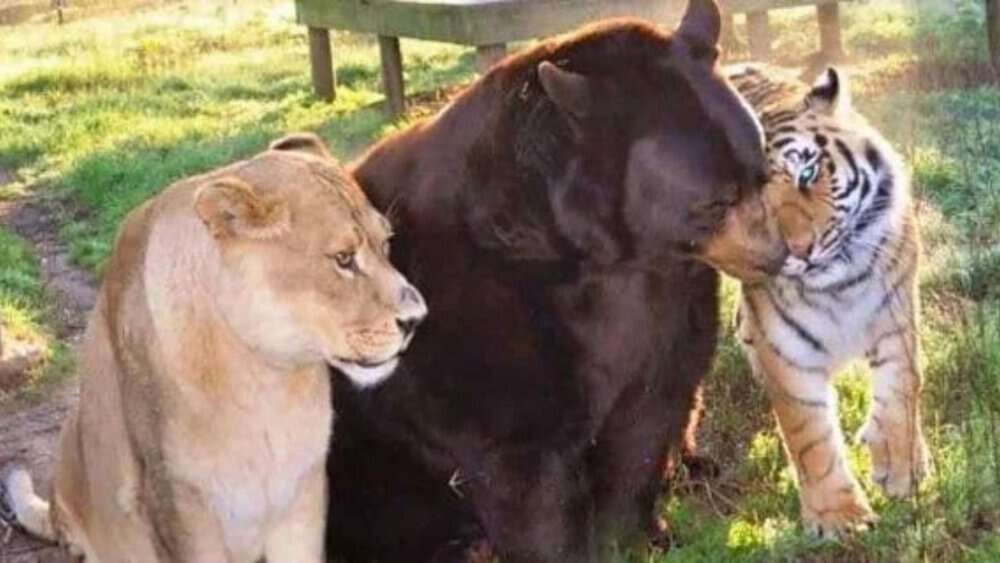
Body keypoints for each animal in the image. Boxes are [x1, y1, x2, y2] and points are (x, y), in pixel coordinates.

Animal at [2, 133, 427, 562]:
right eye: (343, 259)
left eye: (386, 244)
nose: (417, 318)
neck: (266, 380)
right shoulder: (179, 504)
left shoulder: (302, 493)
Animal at [726, 65, 929, 537]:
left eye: (806, 173)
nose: (799, 251)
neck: (839, 286)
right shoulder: (788, 353)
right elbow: (811, 437)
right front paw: (839, 518)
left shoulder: (896, 314)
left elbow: (901, 389)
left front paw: (900, 469)